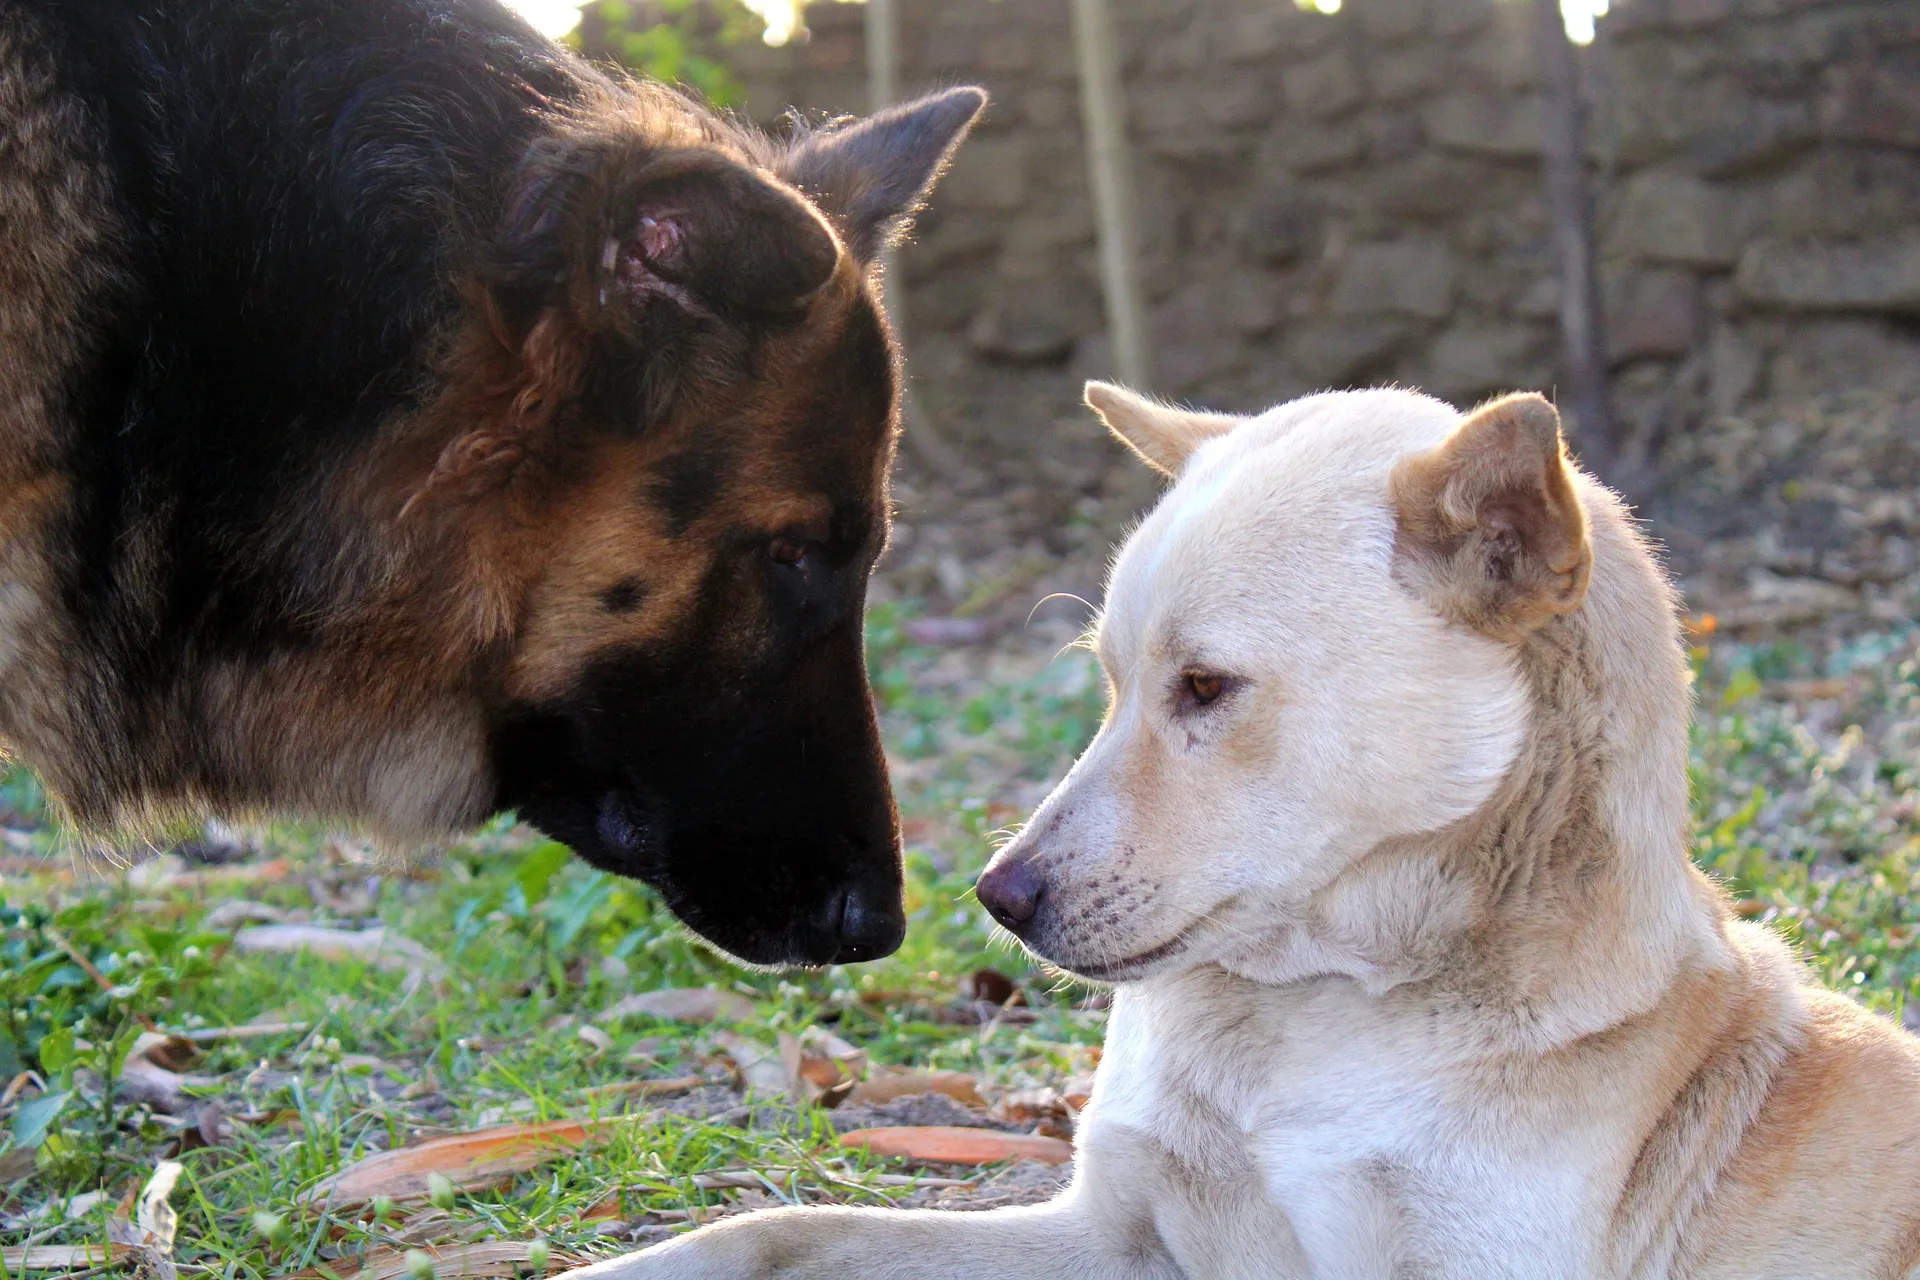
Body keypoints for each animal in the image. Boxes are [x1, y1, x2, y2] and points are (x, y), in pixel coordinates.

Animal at [579, 387, 1920, 1280]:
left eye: (1208, 688)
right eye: (1111, 679)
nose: (998, 896)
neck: (1303, 1019)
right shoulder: (1112, 1233)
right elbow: (774, 1230)